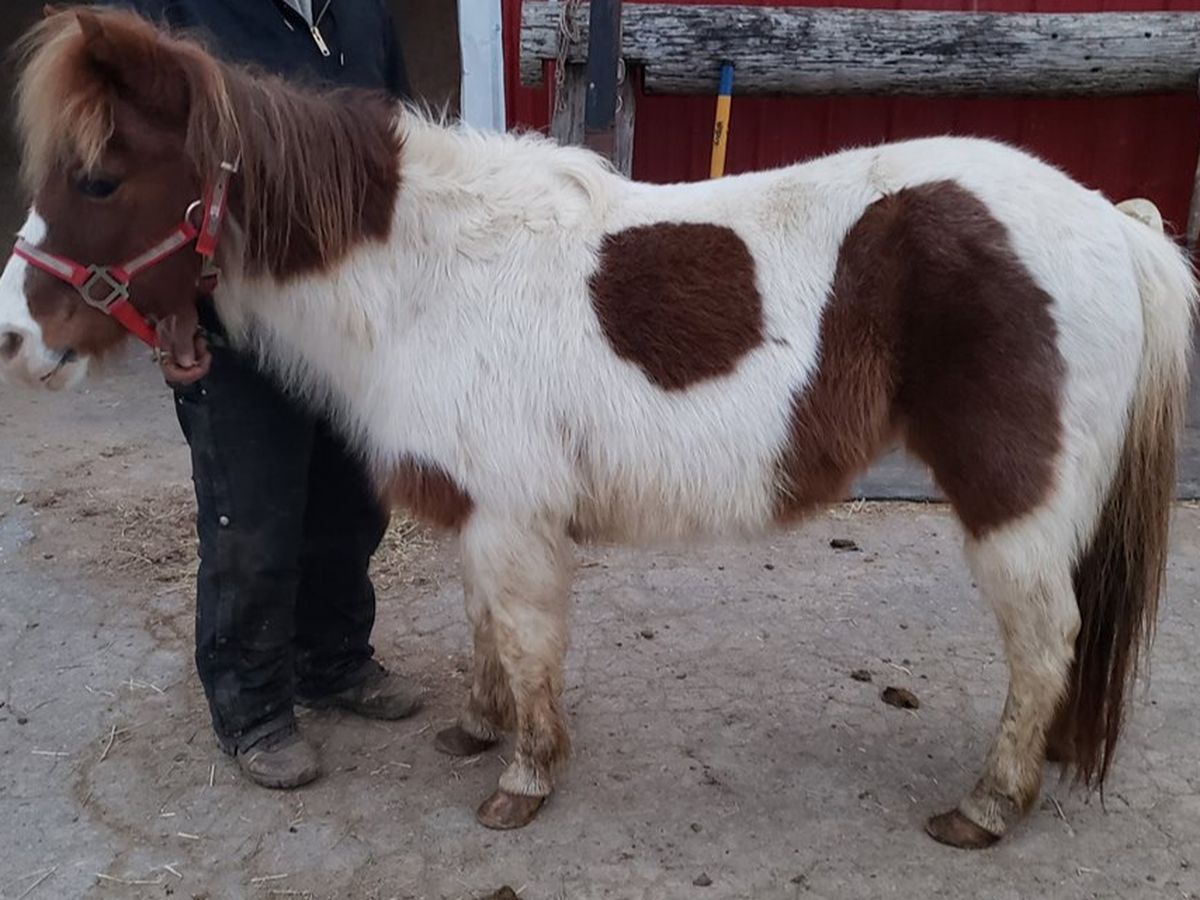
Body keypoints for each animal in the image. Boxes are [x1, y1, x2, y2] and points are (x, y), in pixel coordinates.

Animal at [1, 8, 1194, 848]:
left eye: (97, 177)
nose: (16, 337)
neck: (424, 276)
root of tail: (1111, 222)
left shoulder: (514, 520)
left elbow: (528, 642)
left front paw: (522, 782)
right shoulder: (482, 512)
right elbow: (487, 629)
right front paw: (475, 729)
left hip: (1014, 505)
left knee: (1046, 644)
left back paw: (985, 809)